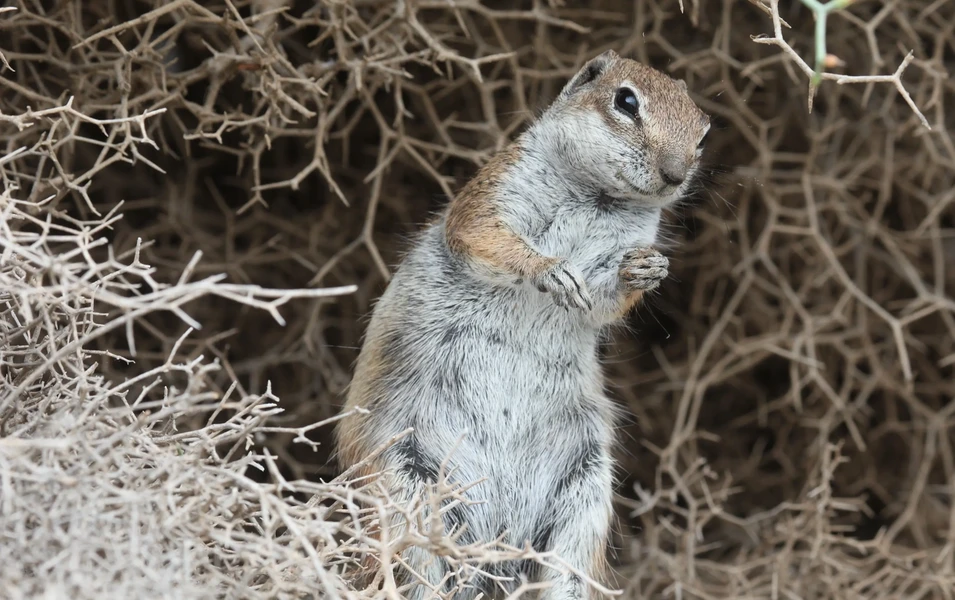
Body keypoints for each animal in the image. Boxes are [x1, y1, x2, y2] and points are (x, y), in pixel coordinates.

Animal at [335, 49, 710, 600]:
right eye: (626, 101)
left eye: (703, 132)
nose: (675, 174)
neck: (599, 196)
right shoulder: (496, 192)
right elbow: (486, 236)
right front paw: (548, 269)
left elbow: (605, 300)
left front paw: (645, 270)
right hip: (404, 484)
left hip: (583, 498)